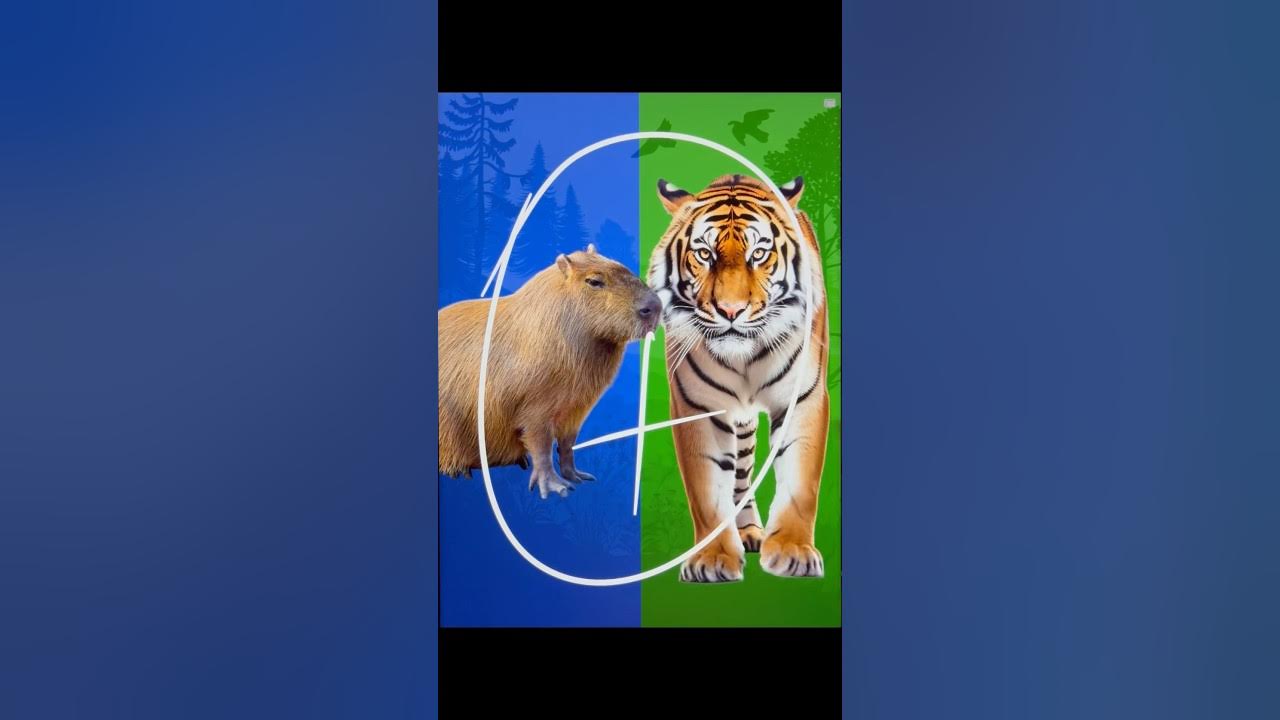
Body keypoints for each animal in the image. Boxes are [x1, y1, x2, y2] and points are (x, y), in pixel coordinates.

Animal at [647, 173, 830, 583]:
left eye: (759, 254)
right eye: (704, 254)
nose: (730, 311)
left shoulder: (803, 398)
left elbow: (800, 481)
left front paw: (793, 551)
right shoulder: (697, 406)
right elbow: (708, 487)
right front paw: (713, 559)